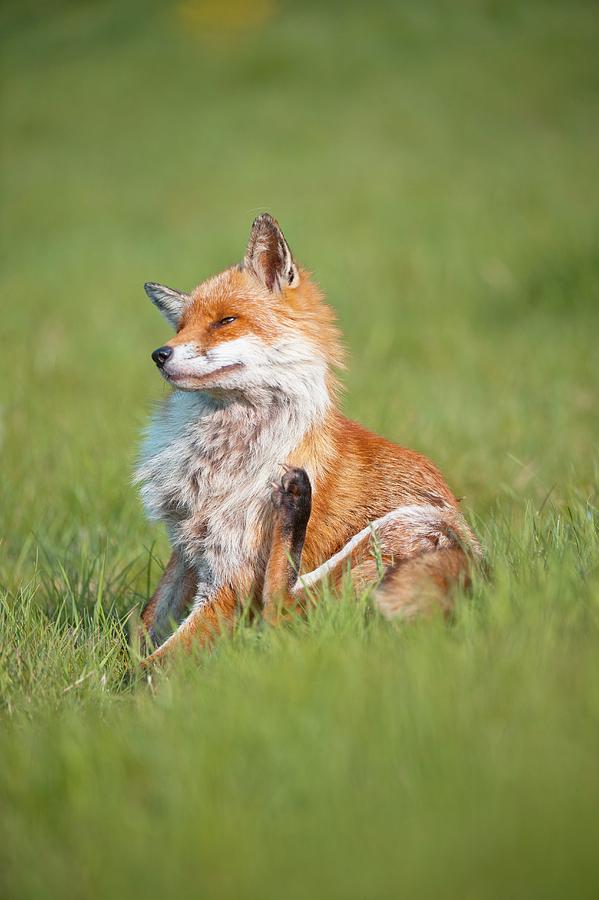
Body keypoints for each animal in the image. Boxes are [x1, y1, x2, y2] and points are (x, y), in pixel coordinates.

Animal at [135, 213, 481, 663]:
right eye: (180, 327)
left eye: (226, 321)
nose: (160, 354)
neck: (218, 459)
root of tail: (482, 576)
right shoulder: (187, 547)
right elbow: (147, 621)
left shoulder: (233, 577)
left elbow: (153, 666)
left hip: (396, 528)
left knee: (281, 614)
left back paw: (296, 499)